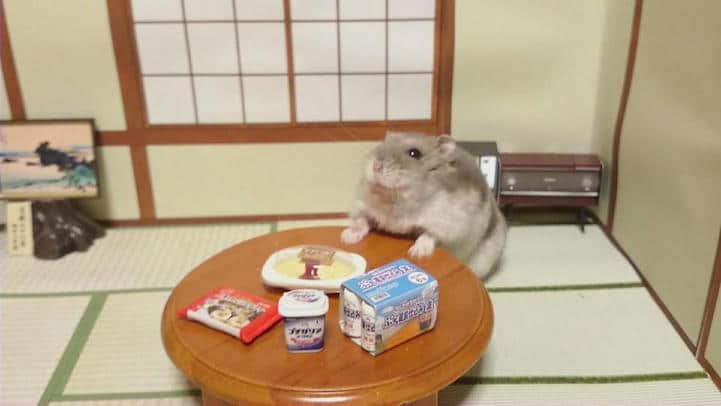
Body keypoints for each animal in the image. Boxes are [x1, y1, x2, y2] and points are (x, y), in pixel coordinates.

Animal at [341, 131, 507, 279]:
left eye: (414, 153)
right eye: (382, 144)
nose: (376, 166)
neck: (397, 198)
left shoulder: (448, 224)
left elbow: (429, 234)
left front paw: (416, 253)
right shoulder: (363, 206)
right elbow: (362, 220)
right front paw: (347, 237)